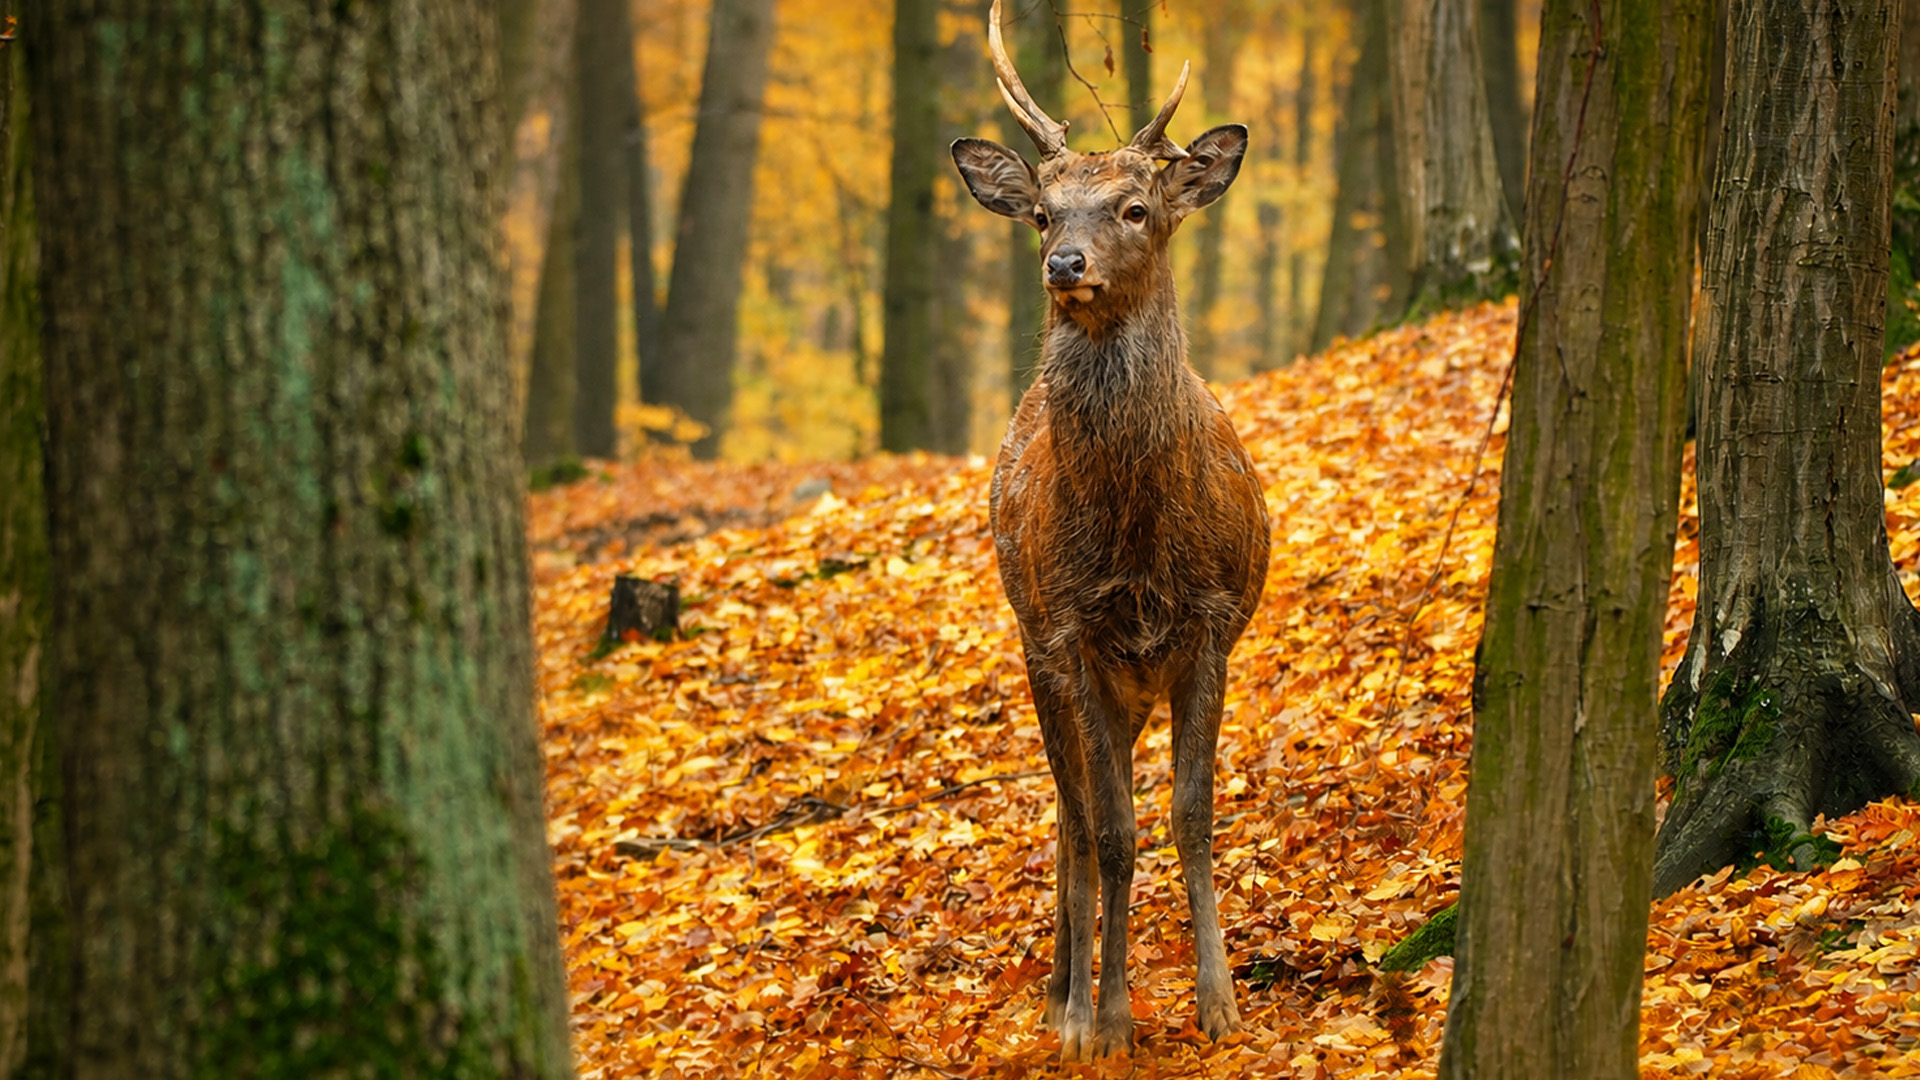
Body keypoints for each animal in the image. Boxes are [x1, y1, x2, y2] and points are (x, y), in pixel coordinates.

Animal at [950, 0, 1271, 1061]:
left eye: (1135, 208)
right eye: (1044, 212)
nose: (1064, 264)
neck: (1138, 541)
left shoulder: (1208, 624)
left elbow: (1191, 814)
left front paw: (1218, 1003)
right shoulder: (1073, 631)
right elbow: (1115, 833)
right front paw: (1111, 1018)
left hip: (1128, 684)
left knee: (1081, 809)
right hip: (1039, 646)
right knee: (1073, 814)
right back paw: (1065, 997)